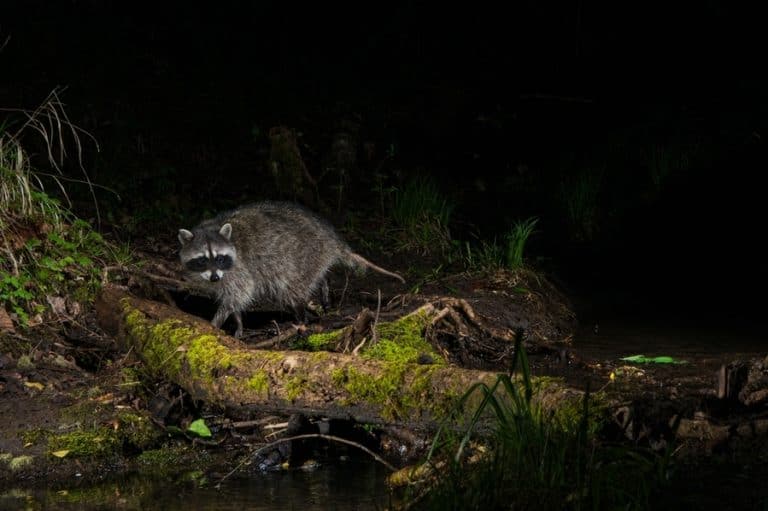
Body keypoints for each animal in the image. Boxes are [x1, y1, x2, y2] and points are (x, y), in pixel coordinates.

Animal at [178, 201, 404, 338]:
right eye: (202, 260)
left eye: (219, 258)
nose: (214, 278)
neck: (214, 227)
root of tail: (331, 238)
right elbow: (235, 299)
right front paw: (237, 321)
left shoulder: (240, 268)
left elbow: (240, 293)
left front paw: (216, 321)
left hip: (304, 256)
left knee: (292, 290)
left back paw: (301, 316)